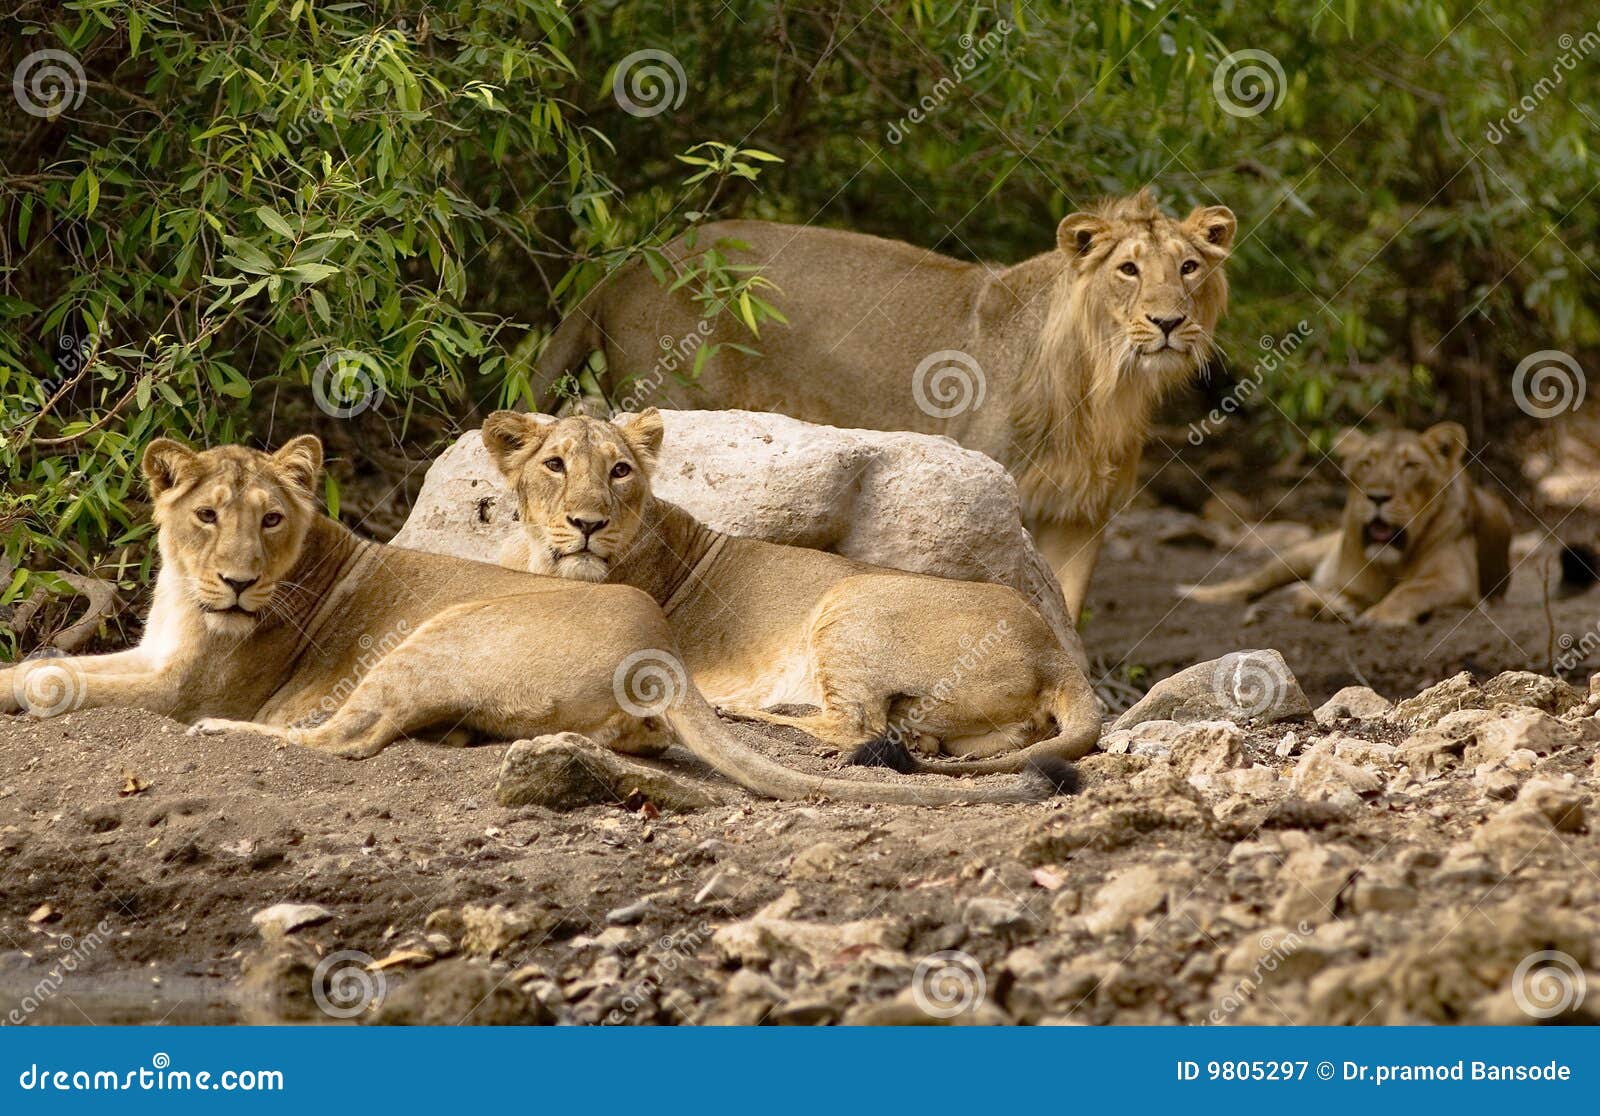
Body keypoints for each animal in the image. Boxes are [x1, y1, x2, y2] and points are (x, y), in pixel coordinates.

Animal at [0, 436, 1074, 806]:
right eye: (206, 515)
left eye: (270, 518)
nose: (233, 581)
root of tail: (655, 651)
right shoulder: (155, 649)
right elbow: (68, 661)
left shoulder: (180, 681)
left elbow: (62, 675)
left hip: (441, 634)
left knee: (348, 738)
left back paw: (239, 734)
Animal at [482, 408, 1101, 778]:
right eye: (554, 465)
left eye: (620, 471)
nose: (588, 524)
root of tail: (1054, 651)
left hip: (851, 596)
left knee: (857, 725)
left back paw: (749, 709)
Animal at [530, 190, 1235, 623]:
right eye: (1128, 270)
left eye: (1189, 267)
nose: (1169, 322)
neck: (1104, 385)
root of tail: (625, 267)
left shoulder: (1082, 514)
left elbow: (1070, 608)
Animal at [1179, 423, 1513, 626]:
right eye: (1366, 462)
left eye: (1411, 465)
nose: (1377, 496)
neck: (1394, 560)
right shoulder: (1350, 579)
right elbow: (1325, 593)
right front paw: (1336, 606)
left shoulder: (1457, 580)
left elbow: (1412, 590)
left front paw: (1380, 615)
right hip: (1297, 556)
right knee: (1252, 584)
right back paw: (1197, 594)